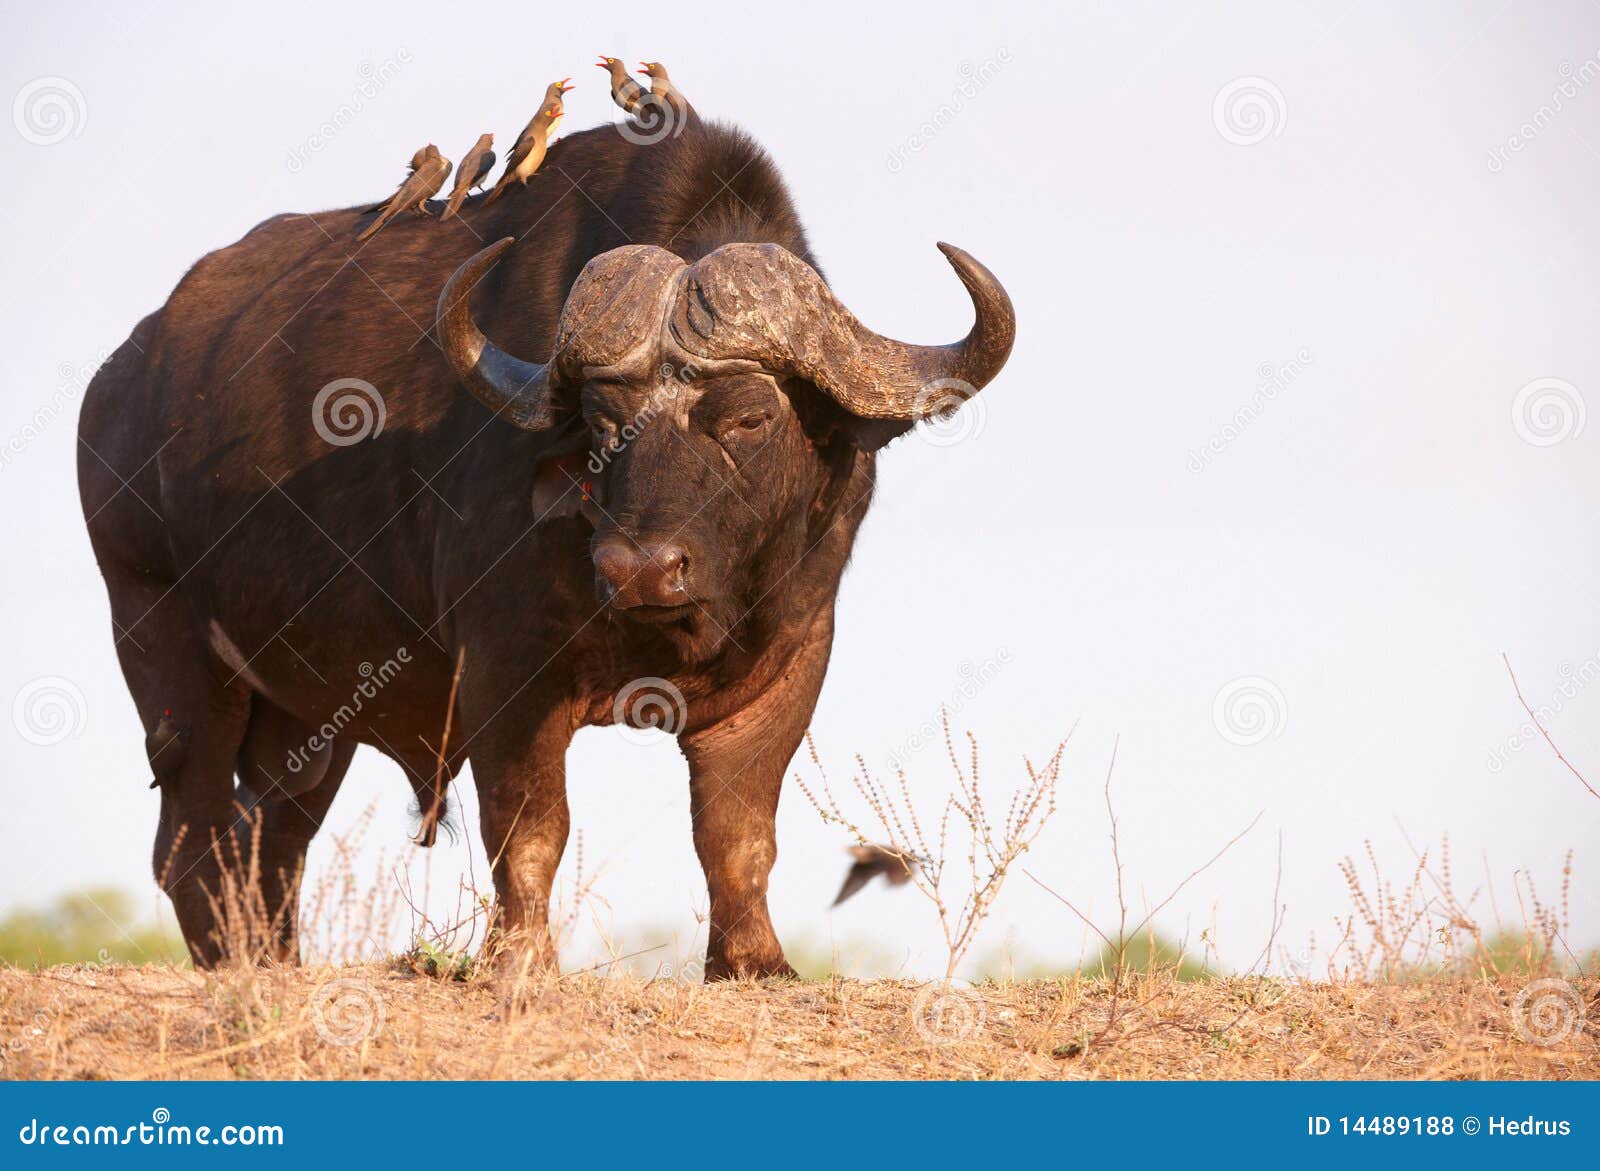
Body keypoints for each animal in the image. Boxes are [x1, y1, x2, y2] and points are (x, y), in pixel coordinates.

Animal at [77, 116, 1014, 977]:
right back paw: (230, 966)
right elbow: (529, 826)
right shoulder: (504, 667)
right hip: (166, 652)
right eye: (602, 424)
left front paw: (755, 960)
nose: (640, 568)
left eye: (750, 416)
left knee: (269, 844)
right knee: (193, 839)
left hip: (306, 715)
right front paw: (521, 957)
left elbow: (737, 832)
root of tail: (117, 388)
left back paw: (273, 964)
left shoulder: (787, 666)